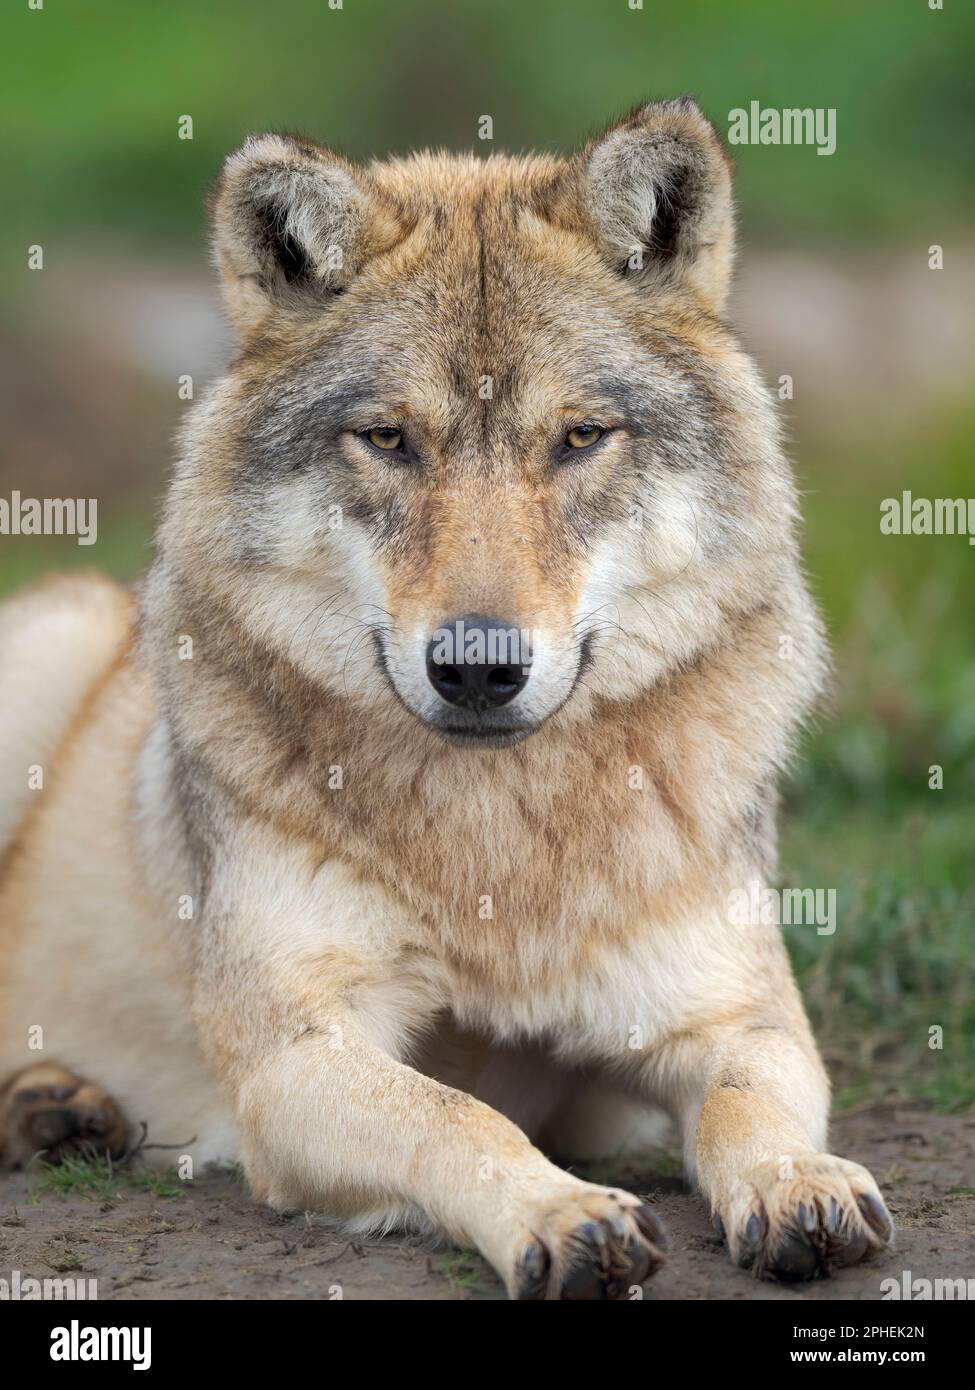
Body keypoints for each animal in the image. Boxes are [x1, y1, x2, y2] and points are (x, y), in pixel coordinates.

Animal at [0, 100, 892, 1298]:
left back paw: (64, 1108)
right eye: (389, 439)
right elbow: (457, 1117)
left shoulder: (734, 1019)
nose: (476, 664)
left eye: (577, 437)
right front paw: (563, 1213)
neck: (497, 850)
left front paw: (801, 1183)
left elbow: (749, 1109)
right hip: (42, 646)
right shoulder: (297, 1058)